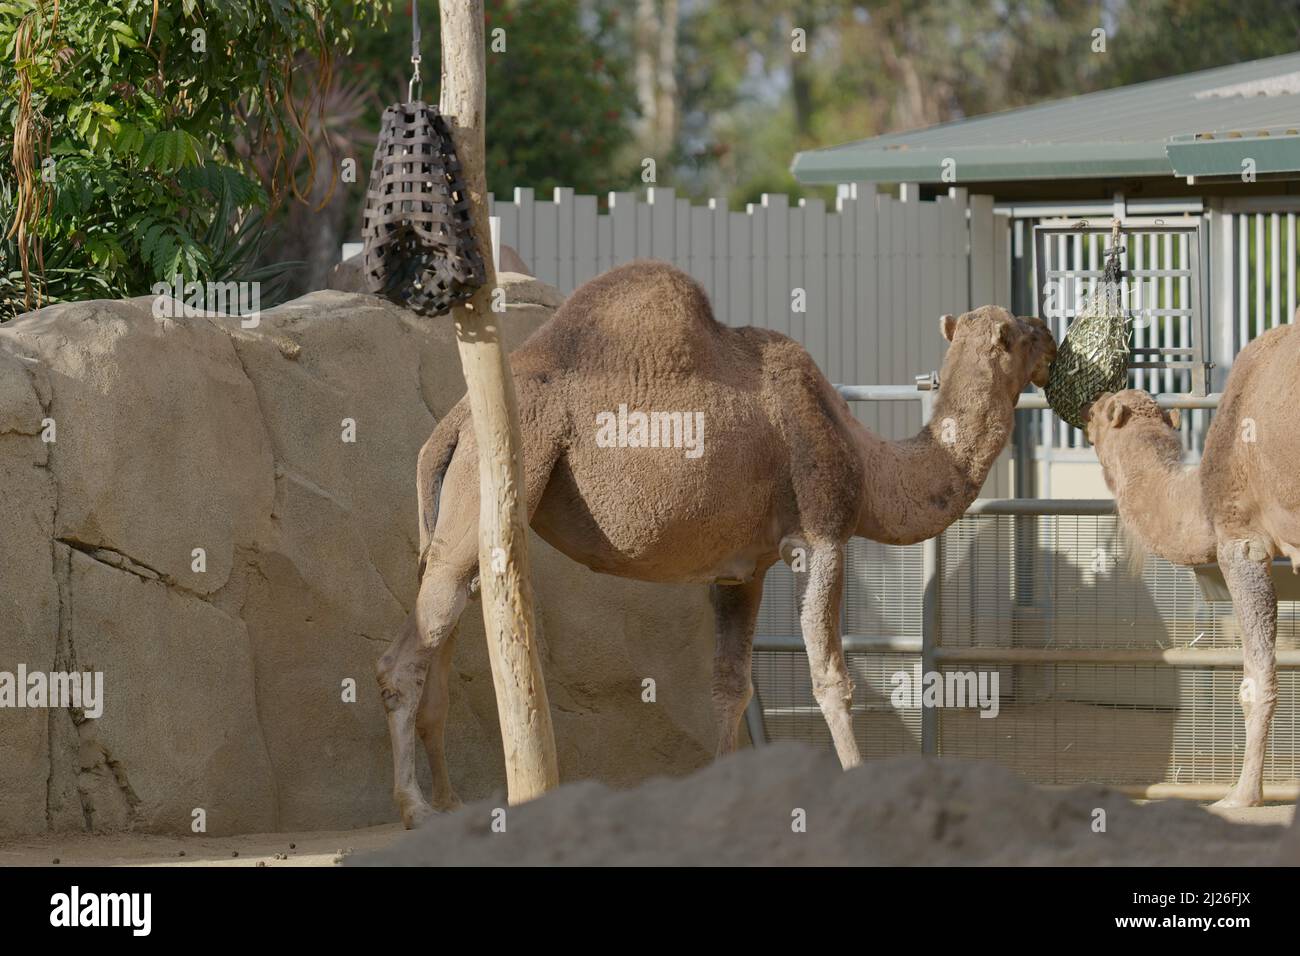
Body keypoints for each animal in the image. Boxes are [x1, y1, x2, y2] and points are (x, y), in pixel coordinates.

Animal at [377, 259, 1056, 827]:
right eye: (1018, 332)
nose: (1050, 332)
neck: (867, 463)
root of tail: (450, 426)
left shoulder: (743, 571)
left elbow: (730, 684)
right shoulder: (822, 535)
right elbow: (830, 678)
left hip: (465, 514)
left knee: (445, 626)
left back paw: (452, 801)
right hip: (499, 475)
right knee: (401, 661)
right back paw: (413, 808)